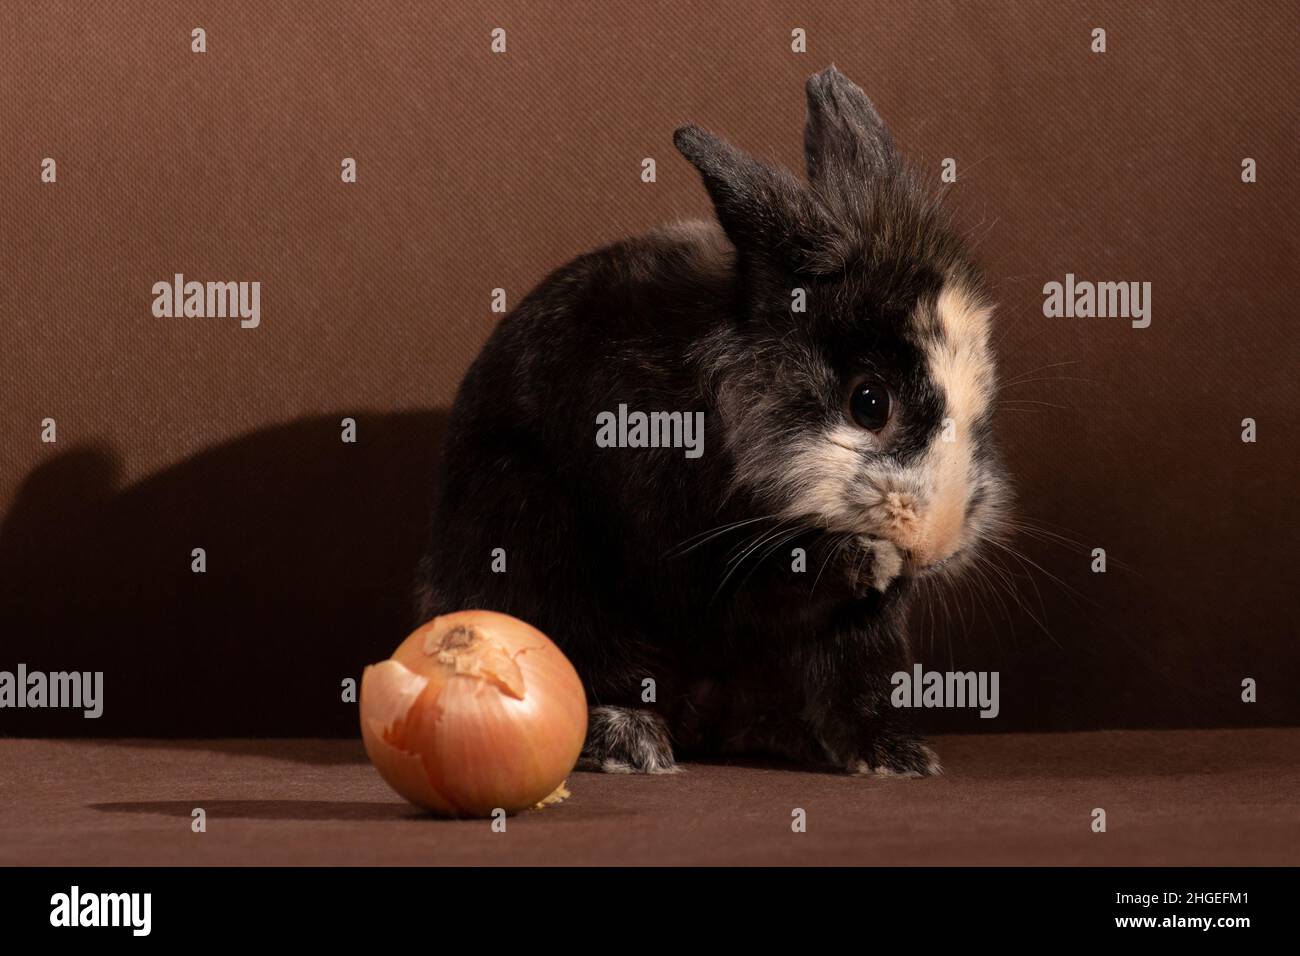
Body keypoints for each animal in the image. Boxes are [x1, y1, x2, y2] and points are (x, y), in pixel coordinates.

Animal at [415, 66, 1009, 777]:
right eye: (870, 402)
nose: (937, 542)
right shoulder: (687, 553)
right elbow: (756, 588)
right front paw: (865, 558)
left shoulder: (852, 632)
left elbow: (853, 681)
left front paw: (894, 756)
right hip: (524, 531)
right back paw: (631, 741)